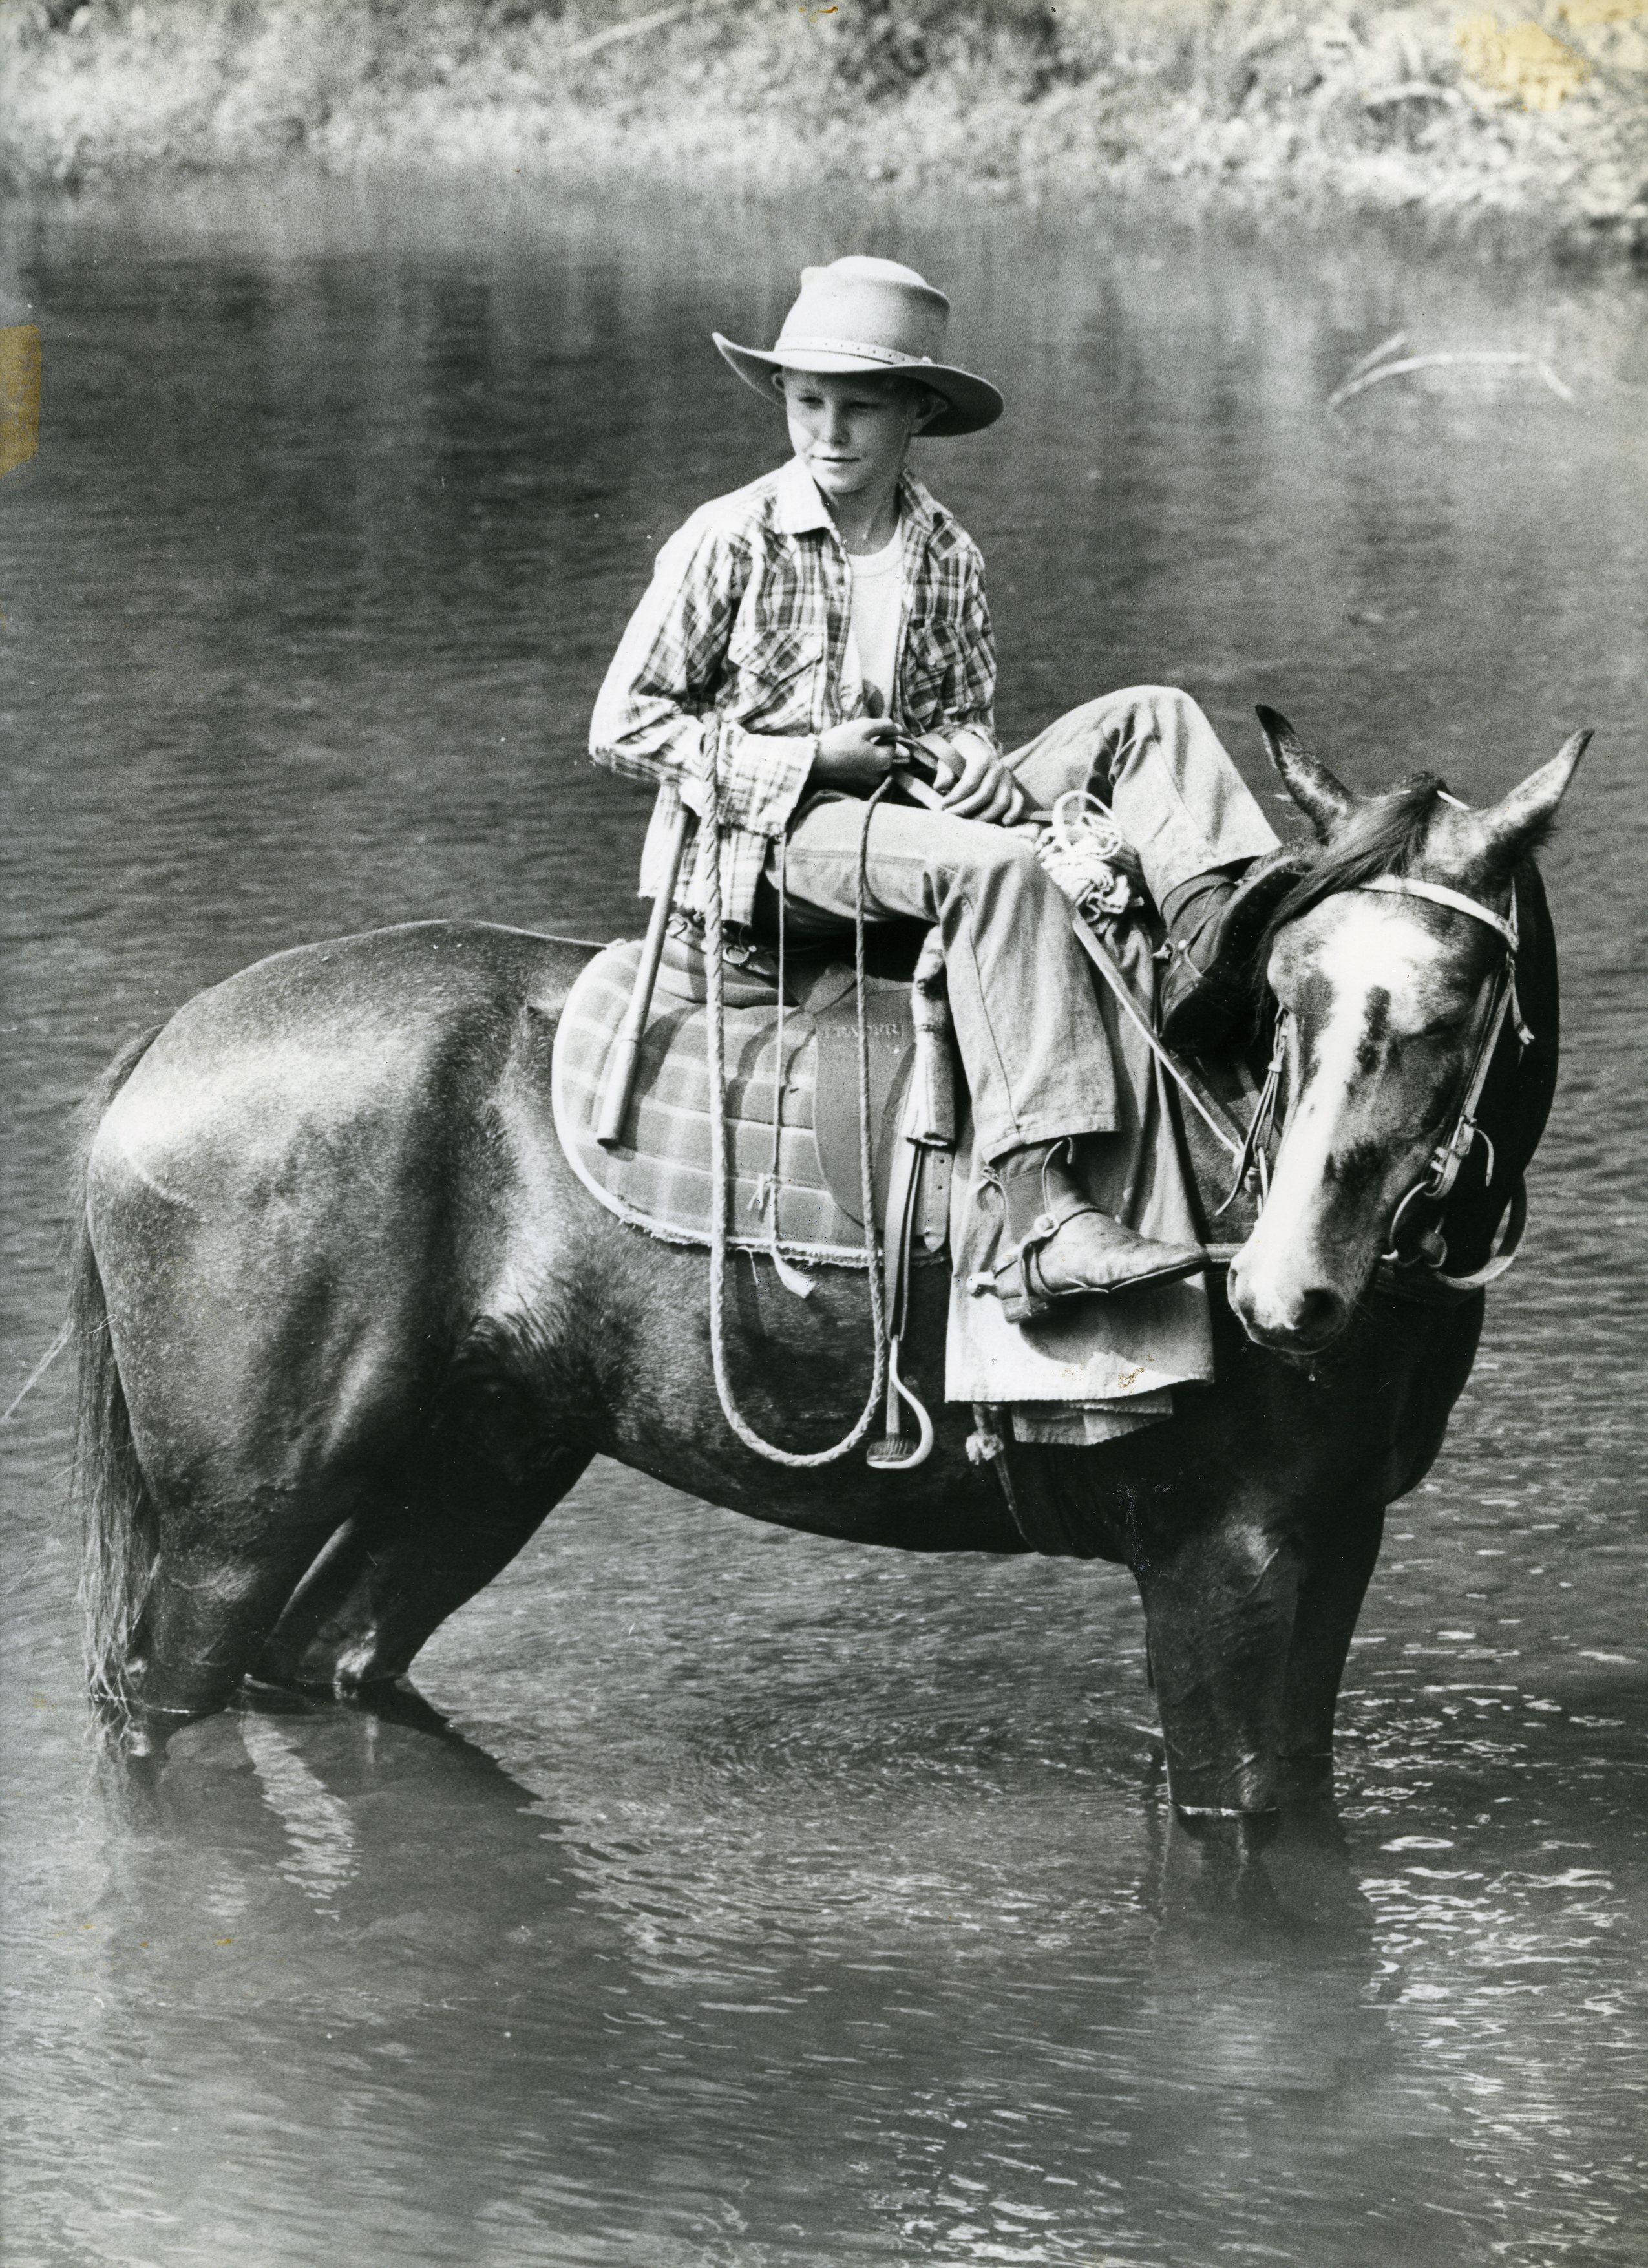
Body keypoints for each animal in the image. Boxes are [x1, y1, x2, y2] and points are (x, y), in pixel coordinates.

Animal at [70, 712, 1587, 1830]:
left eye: (1459, 1003)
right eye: (1286, 989)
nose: (1284, 1293)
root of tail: (168, 1044)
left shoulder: (1334, 1542)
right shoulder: (1222, 1558)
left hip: (480, 1461)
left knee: (326, 1660)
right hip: (238, 1520)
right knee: (168, 1688)